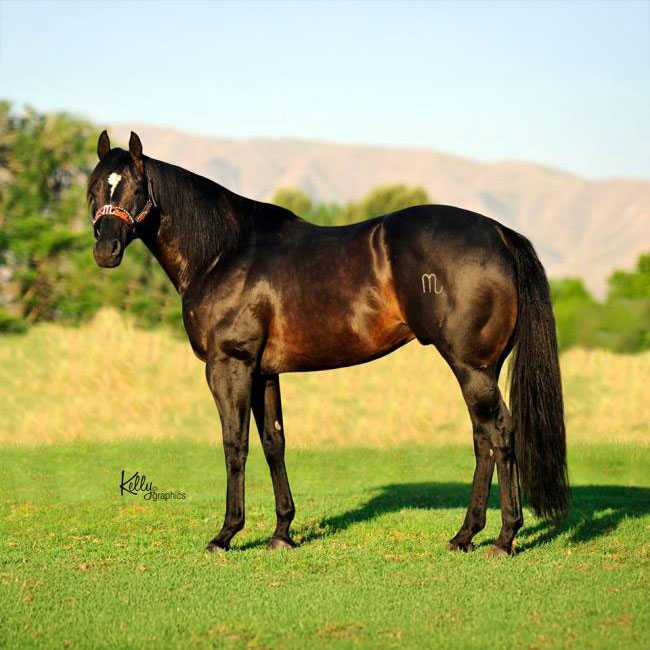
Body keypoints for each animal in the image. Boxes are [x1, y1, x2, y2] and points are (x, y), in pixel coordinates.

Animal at [88, 130, 570, 557]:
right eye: (94, 189)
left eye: (135, 188)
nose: (106, 250)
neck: (224, 252)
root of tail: (501, 233)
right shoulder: (265, 372)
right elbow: (274, 442)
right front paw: (282, 533)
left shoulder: (230, 365)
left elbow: (235, 444)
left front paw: (226, 535)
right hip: (480, 369)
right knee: (482, 438)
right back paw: (464, 536)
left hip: (471, 366)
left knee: (500, 433)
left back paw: (504, 539)